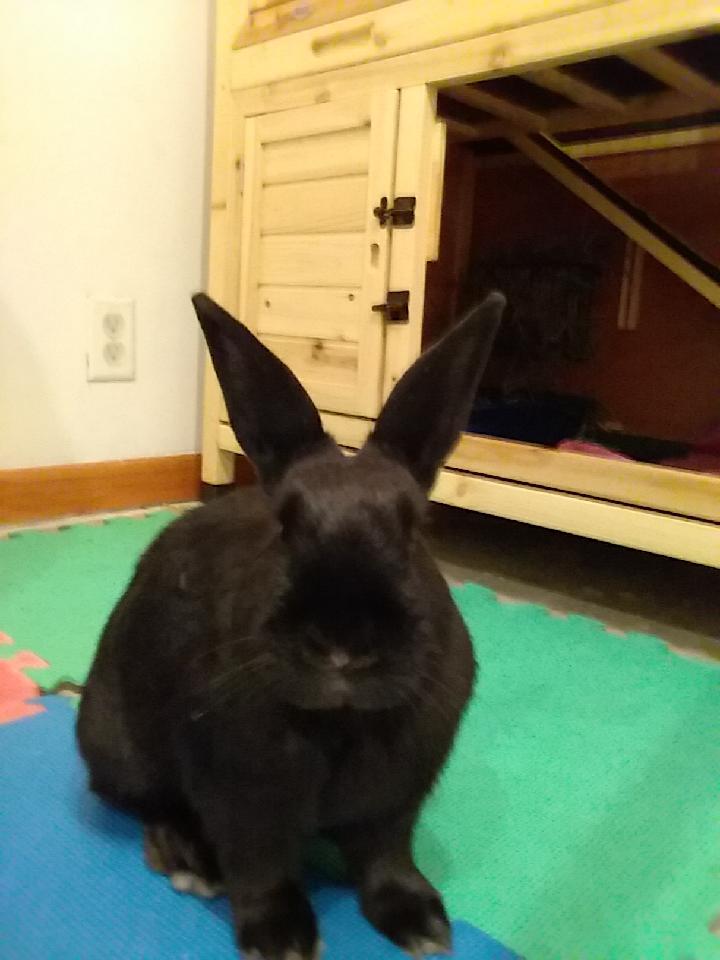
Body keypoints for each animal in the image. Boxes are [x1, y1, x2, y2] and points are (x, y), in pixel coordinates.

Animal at [76, 289, 505, 960]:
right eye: (285, 526)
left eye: (412, 530)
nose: (344, 647)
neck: (341, 720)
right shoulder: (244, 795)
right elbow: (260, 864)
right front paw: (280, 939)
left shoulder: (394, 803)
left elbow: (386, 857)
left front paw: (423, 925)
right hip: (120, 745)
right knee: (141, 800)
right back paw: (184, 858)